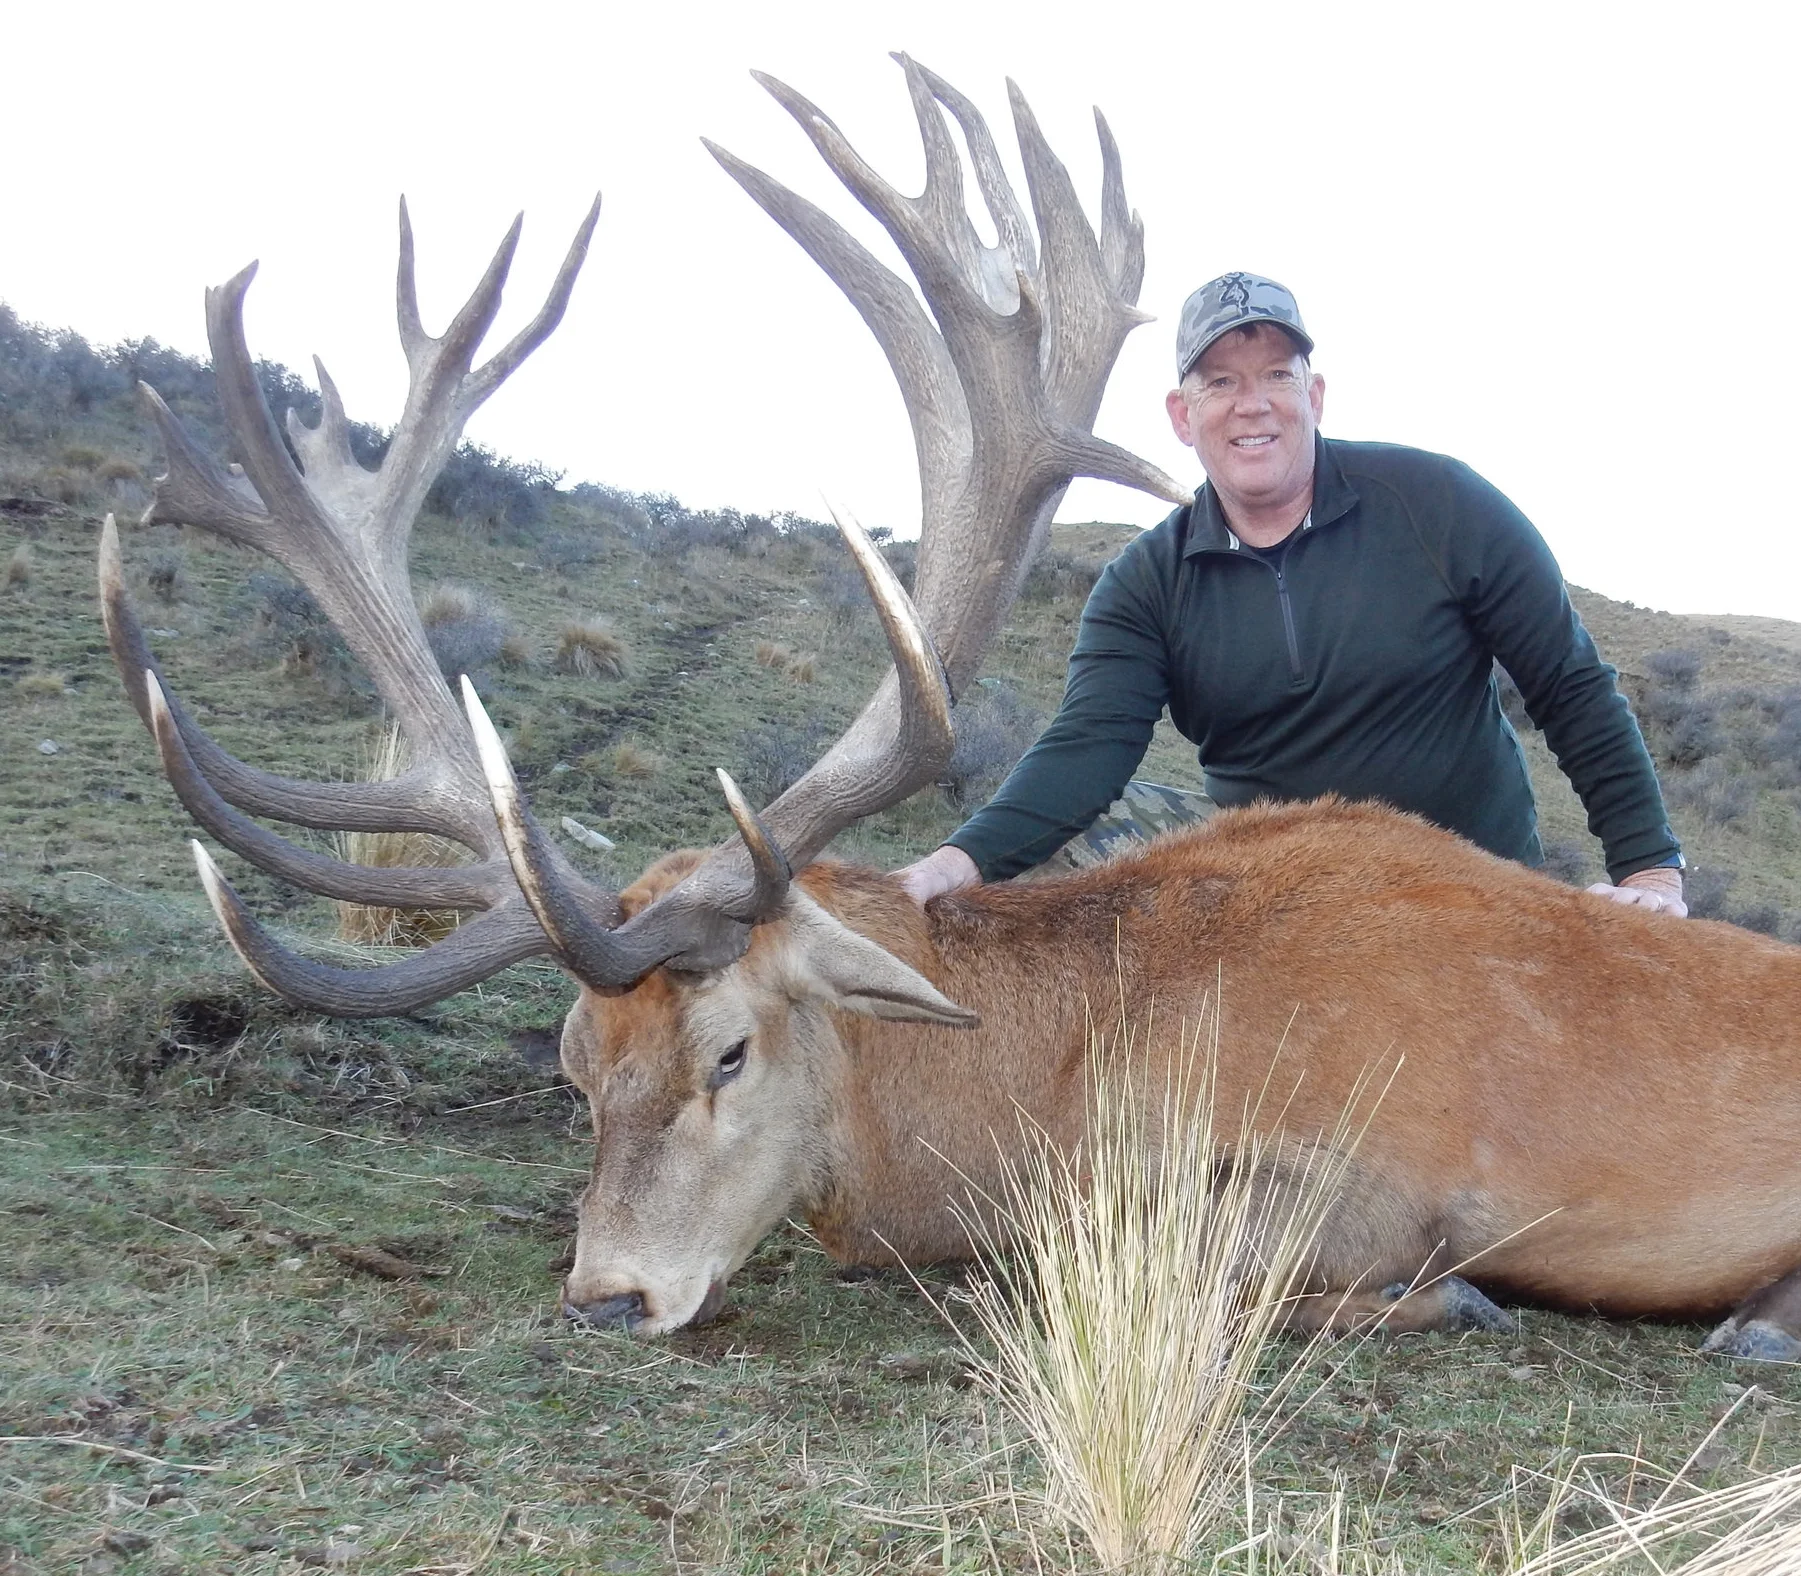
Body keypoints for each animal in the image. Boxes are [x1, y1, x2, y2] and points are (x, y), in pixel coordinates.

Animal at [101, 59, 1801, 1362]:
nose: (605, 1298)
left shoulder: (1374, 1173)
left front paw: (1463, 1305)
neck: (1043, 1077)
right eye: (576, 1067)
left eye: (728, 1050)